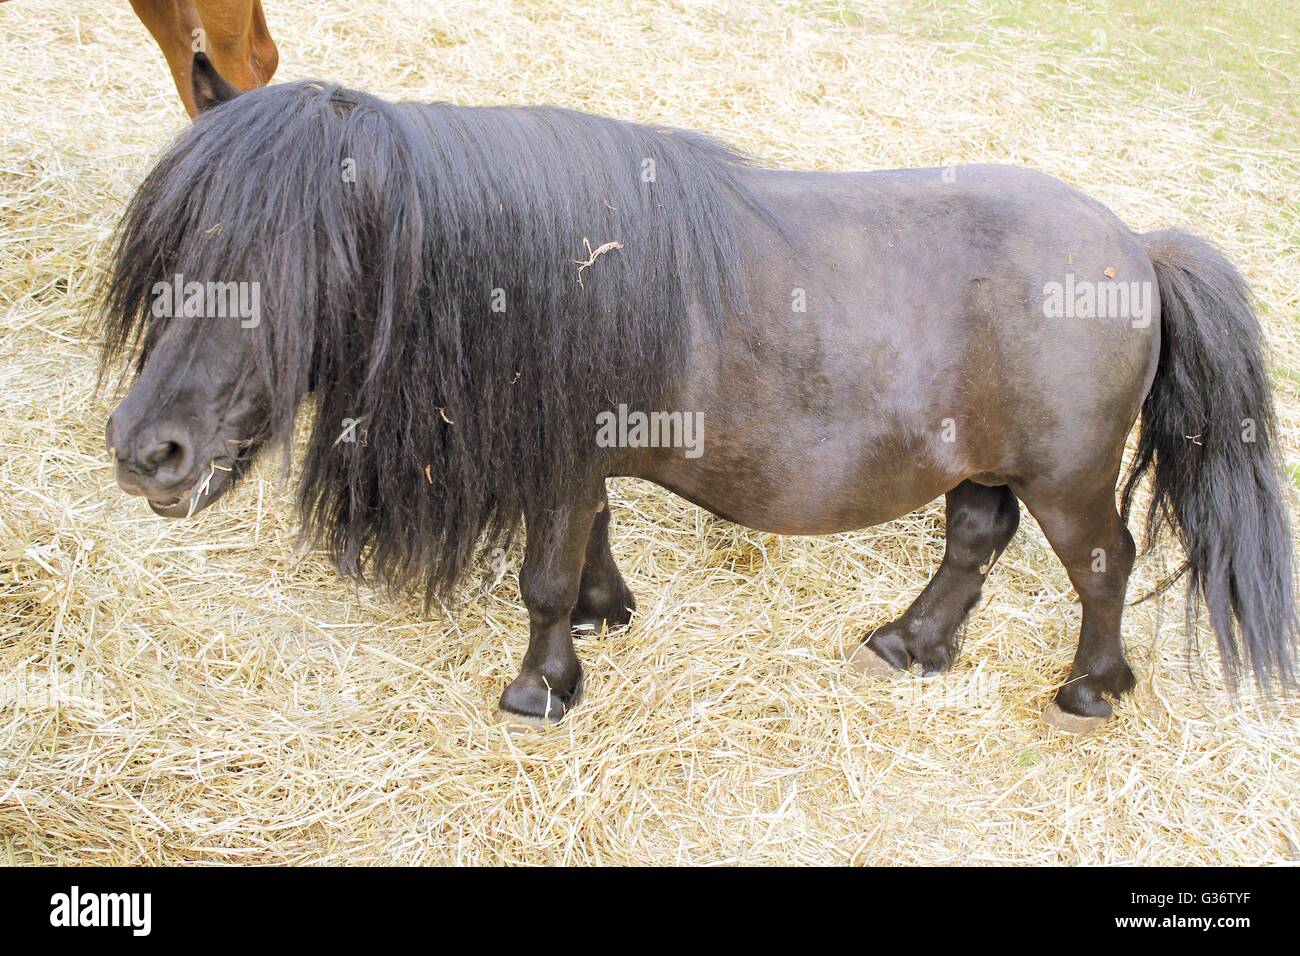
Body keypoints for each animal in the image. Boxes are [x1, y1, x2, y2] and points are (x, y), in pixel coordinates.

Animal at [100, 54, 1297, 733]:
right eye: (175, 246)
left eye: (292, 265)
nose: (143, 448)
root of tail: (1137, 249)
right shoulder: (580, 457)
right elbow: (590, 536)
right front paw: (604, 612)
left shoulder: (560, 454)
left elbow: (540, 576)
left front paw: (542, 686)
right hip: (987, 461)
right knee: (974, 539)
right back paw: (913, 643)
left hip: (1067, 475)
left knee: (1103, 564)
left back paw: (1092, 686)